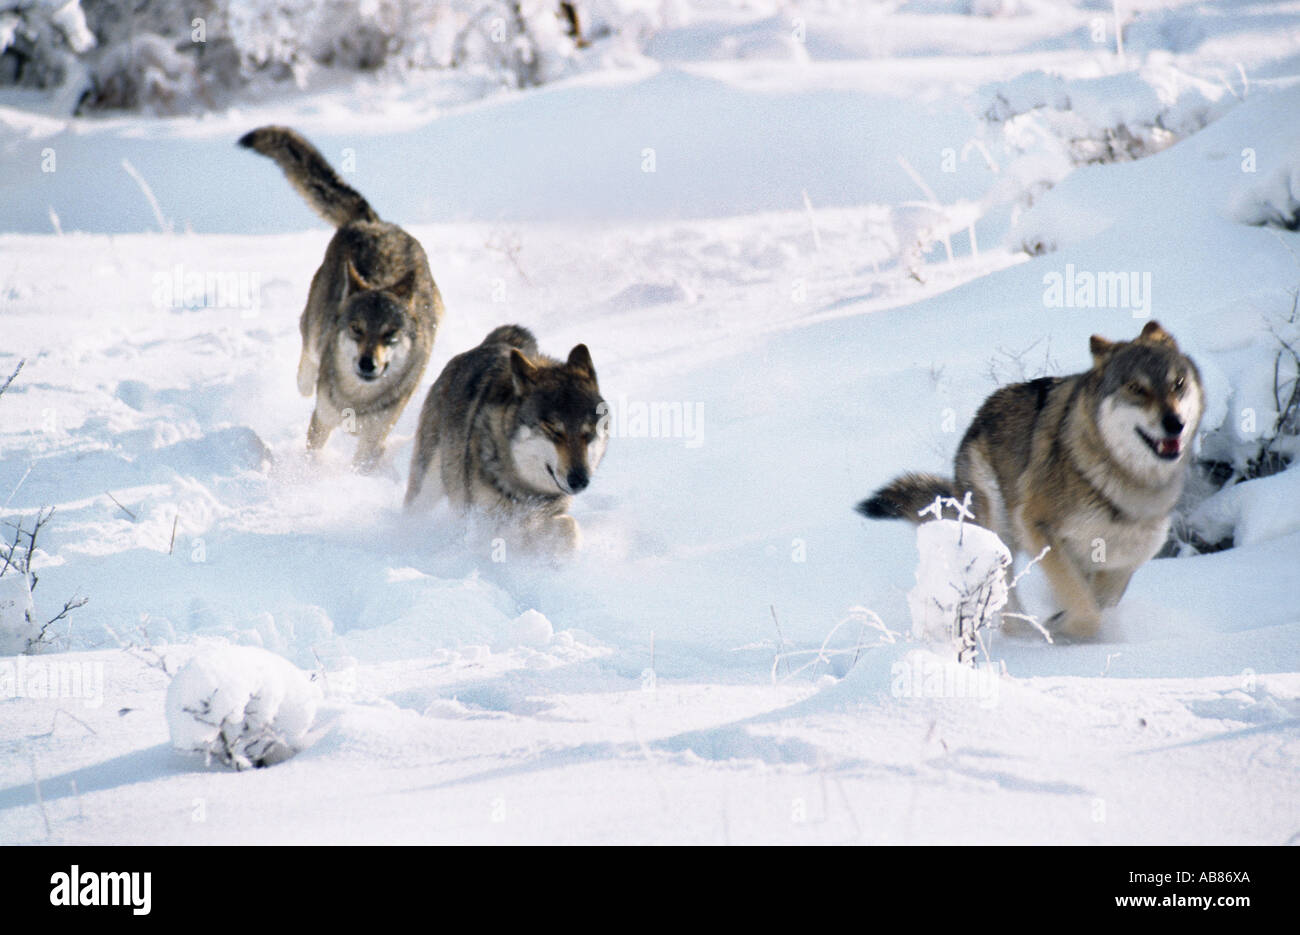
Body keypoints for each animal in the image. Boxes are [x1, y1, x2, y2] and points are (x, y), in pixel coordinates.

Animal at [239, 125, 443, 470]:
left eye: (389, 334)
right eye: (357, 329)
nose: (367, 364)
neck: (359, 399)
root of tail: (375, 223)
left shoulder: (372, 439)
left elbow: (361, 463)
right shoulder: (322, 420)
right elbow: (312, 454)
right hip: (313, 325)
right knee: (306, 363)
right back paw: (305, 381)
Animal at [404, 325, 608, 552]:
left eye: (588, 432)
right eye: (553, 430)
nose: (579, 480)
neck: (526, 488)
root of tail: (489, 344)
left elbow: (568, 528)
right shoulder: (485, 522)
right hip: (425, 490)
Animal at [857, 321, 1204, 640]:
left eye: (1178, 384)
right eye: (1136, 388)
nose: (1175, 423)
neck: (1127, 481)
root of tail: (978, 417)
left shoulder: (1130, 554)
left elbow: (1101, 598)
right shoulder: (1038, 526)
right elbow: (1086, 610)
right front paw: (1060, 626)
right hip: (1001, 532)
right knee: (1006, 608)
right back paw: (1025, 632)